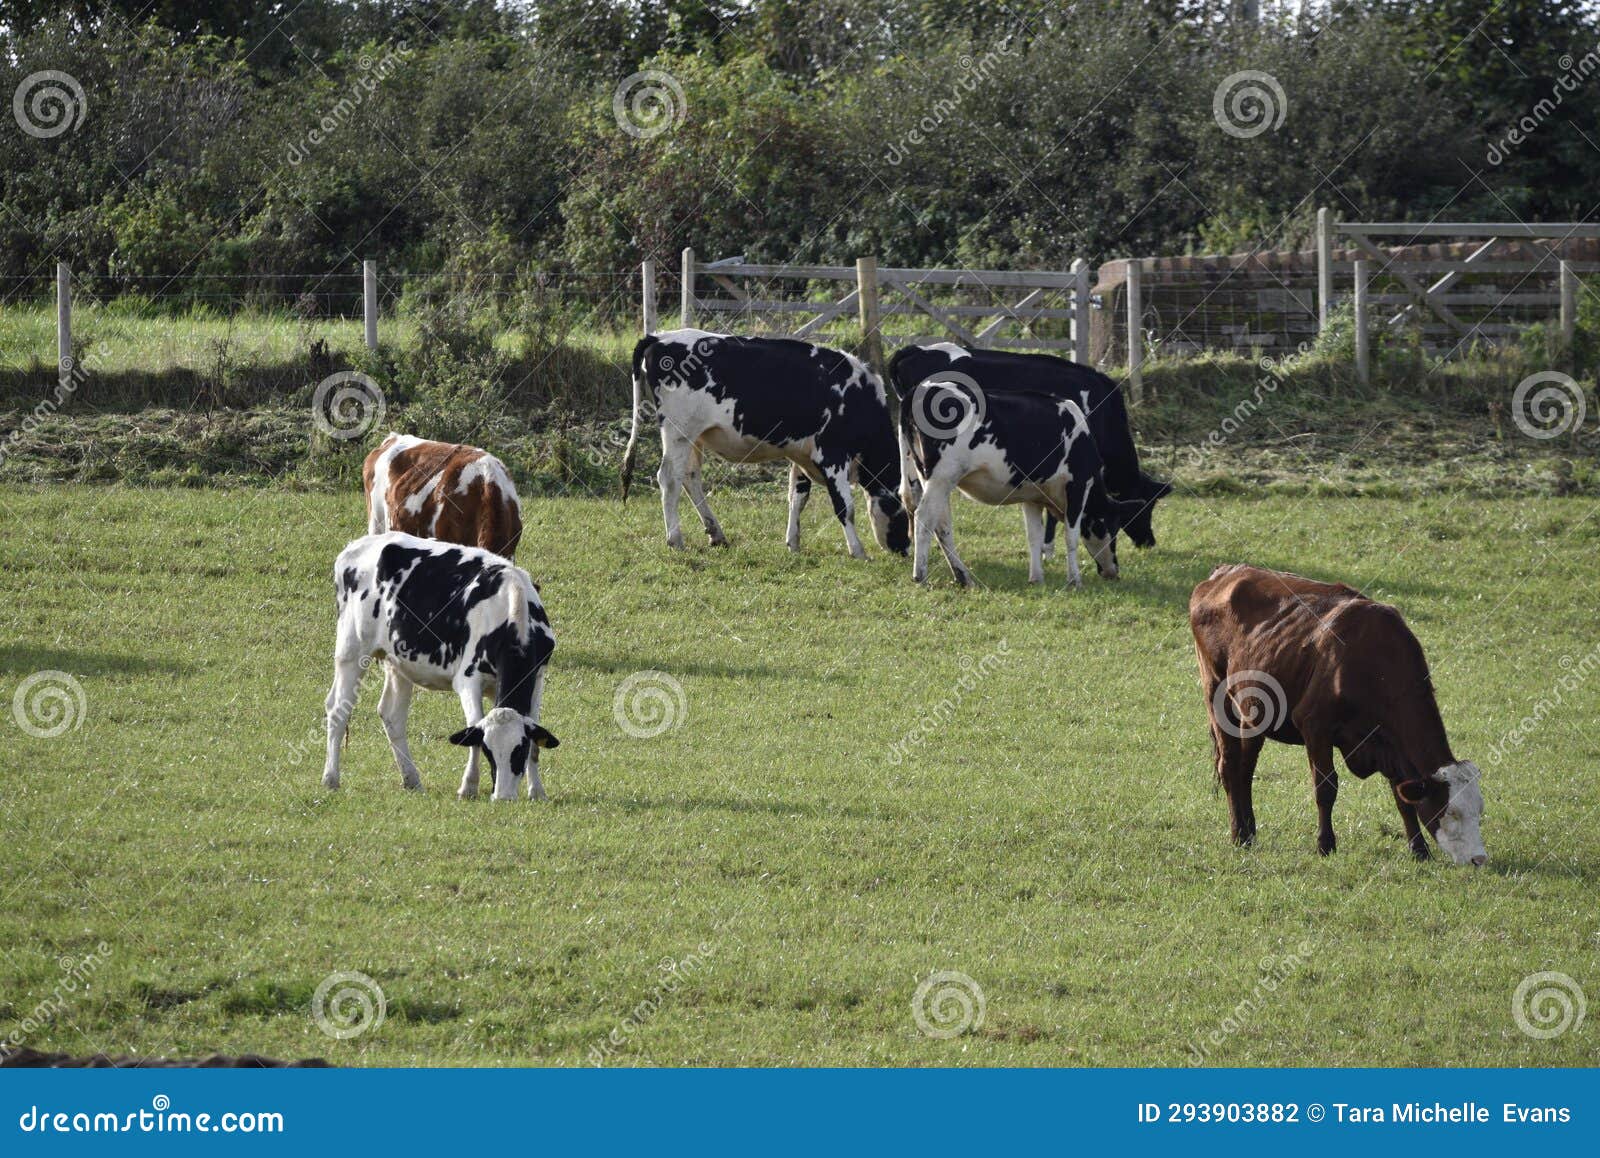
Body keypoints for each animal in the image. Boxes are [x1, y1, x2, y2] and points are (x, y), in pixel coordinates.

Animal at [321, 532, 558, 802]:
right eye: (488, 751)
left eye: (519, 750)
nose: (503, 797)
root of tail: (359, 544)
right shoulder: (468, 679)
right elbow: (473, 727)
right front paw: (468, 787)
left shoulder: (537, 677)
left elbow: (536, 739)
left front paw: (537, 791)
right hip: (351, 649)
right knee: (337, 708)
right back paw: (331, 778)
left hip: (398, 661)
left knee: (392, 714)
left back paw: (411, 779)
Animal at [620, 330, 910, 558]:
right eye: (904, 512)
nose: (905, 548)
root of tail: (660, 337)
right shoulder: (832, 455)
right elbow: (845, 507)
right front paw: (858, 551)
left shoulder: (801, 455)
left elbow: (797, 499)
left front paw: (793, 543)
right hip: (678, 432)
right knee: (669, 479)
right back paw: (675, 539)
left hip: (693, 437)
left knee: (689, 478)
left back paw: (716, 533)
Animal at [887, 343, 1172, 556]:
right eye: (1146, 507)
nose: (1149, 541)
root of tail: (916, 350)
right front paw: (1048, 548)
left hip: (909, 449)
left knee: (909, 493)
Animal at [896, 370, 1146, 587]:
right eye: (1112, 530)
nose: (1113, 571)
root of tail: (922, 387)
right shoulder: (1078, 486)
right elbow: (1071, 536)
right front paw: (1074, 580)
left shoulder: (1032, 495)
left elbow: (1034, 536)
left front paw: (1036, 578)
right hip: (943, 476)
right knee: (924, 517)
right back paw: (921, 576)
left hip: (931, 477)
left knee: (942, 525)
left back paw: (963, 577)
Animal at [1189, 564, 1487, 864]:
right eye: (1450, 812)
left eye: (1479, 812)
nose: (1479, 859)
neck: (1376, 660)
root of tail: (1225, 572)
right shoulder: (1315, 726)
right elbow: (1326, 787)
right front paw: (1325, 844)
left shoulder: (1390, 745)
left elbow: (1402, 797)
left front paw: (1419, 849)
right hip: (1217, 697)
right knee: (1229, 766)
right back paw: (1239, 835)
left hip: (1253, 714)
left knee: (1245, 769)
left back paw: (1248, 832)